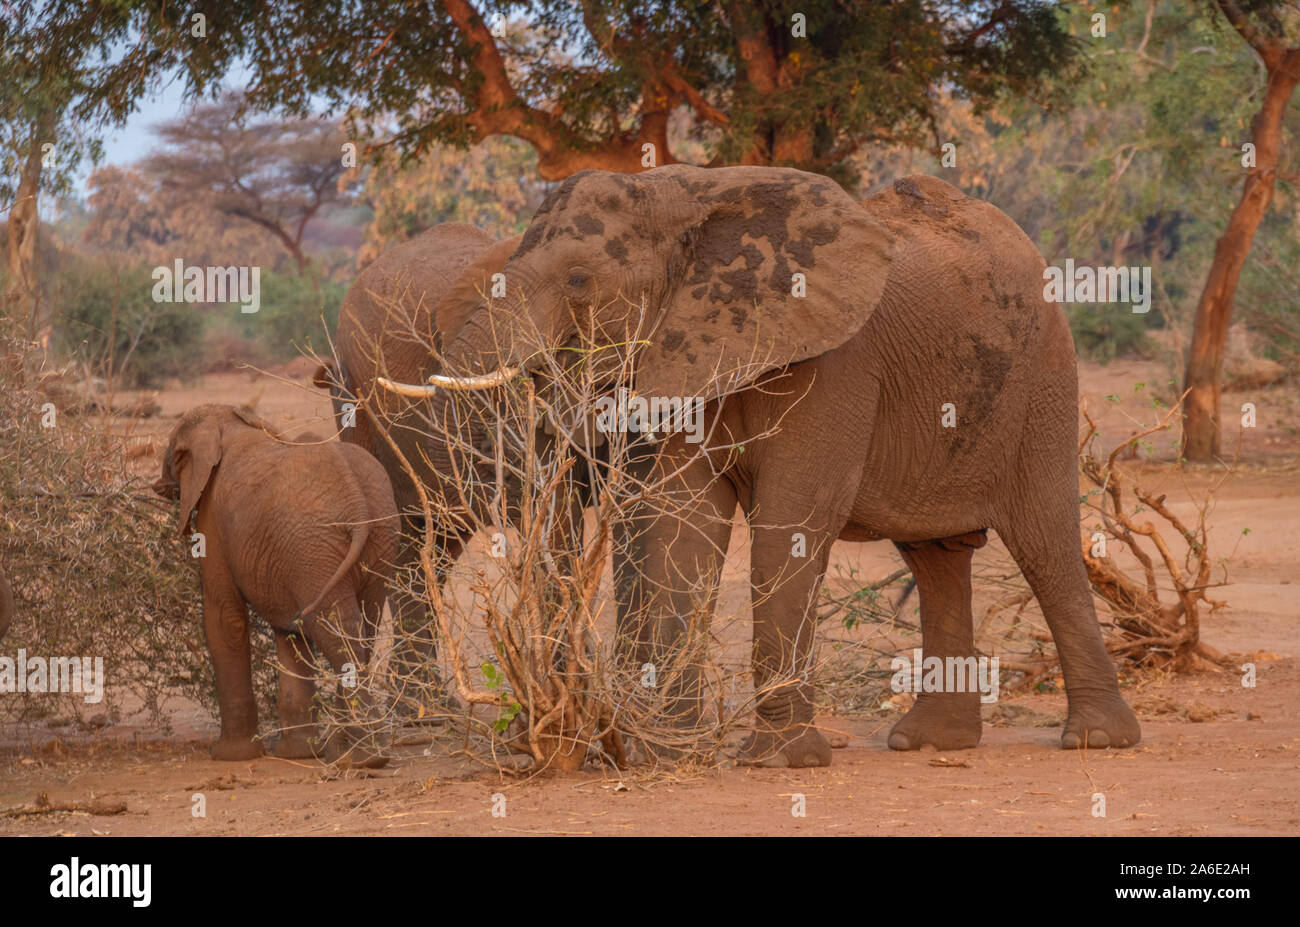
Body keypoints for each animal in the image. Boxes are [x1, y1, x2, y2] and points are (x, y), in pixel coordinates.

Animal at [153, 404, 399, 765]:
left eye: (172, 453)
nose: (159, 485)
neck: (231, 424)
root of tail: (355, 496)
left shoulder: (213, 519)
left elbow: (225, 617)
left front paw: (229, 756)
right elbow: (290, 634)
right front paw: (298, 754)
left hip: (316, 549)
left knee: (336, 627)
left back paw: (365, 758)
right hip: (371, 539)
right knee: (361, 625)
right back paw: (351, 755)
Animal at [378, 165, 1142, 768]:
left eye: (578, 278)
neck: (687, 197)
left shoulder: (836, 360)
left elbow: (792, 518)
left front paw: (779, 761)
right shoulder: (681, 355)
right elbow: (682, 521)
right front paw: (670, 753)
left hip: (1045, 377)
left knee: (1044, 542)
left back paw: (1097, 741)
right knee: (937, 558)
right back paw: (929, 743)